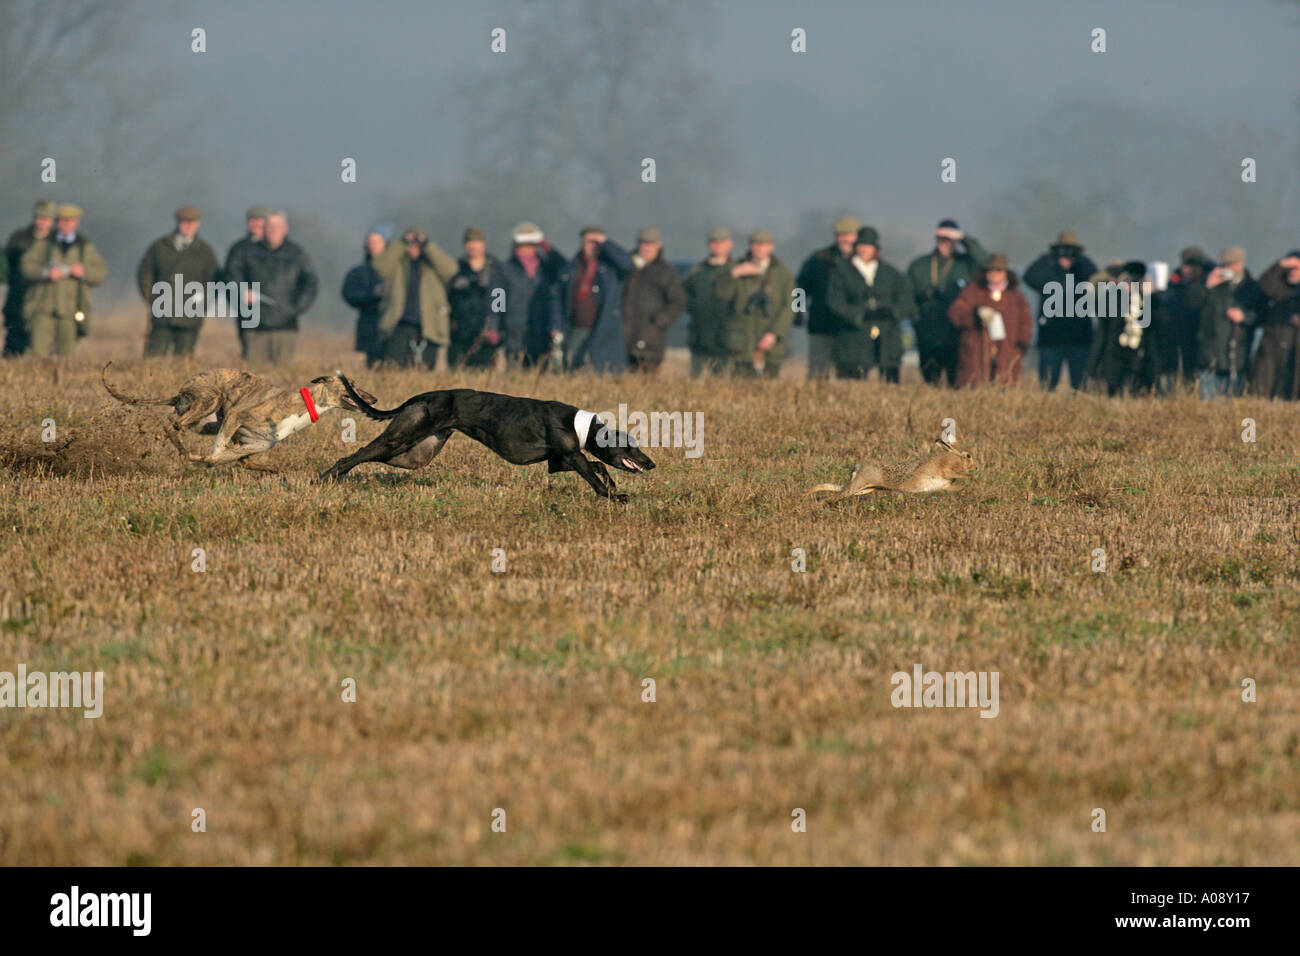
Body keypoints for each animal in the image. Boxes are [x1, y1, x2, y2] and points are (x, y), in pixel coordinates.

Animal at [806, 438, 977, 500]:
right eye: (968, 456)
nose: (976, 467)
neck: (956, 457)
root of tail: (857, 467)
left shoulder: (946, 484)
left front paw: (965, 490)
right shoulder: (948, 469)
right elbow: (962, 475)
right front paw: (973, 480)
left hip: (865, 489)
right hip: (858, 485)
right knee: (835, 494)